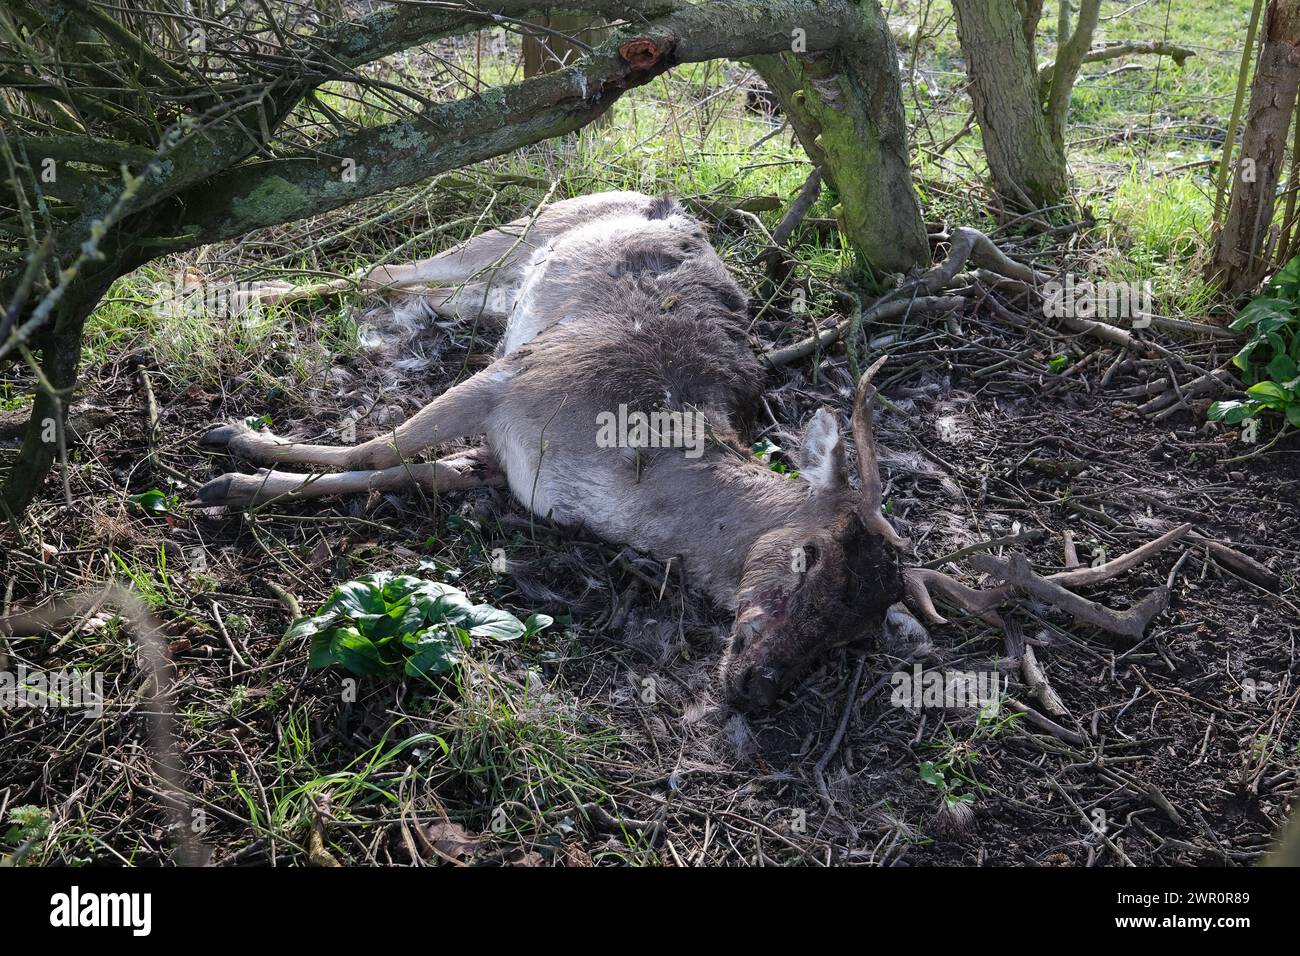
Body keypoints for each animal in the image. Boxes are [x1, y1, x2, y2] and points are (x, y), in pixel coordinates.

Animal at [197, 191, 1191, 712]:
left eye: (857, 631)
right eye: (809, 554)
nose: (756, 685)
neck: (624, 477)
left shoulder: (509, 457)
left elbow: (413, 465)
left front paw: (246, 472)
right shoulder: (518, 377)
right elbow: (377, 441)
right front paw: (232, 457)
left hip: (491, 292)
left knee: (394, 285)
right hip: (514, 237)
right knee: (381, 269)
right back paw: (245, 288)